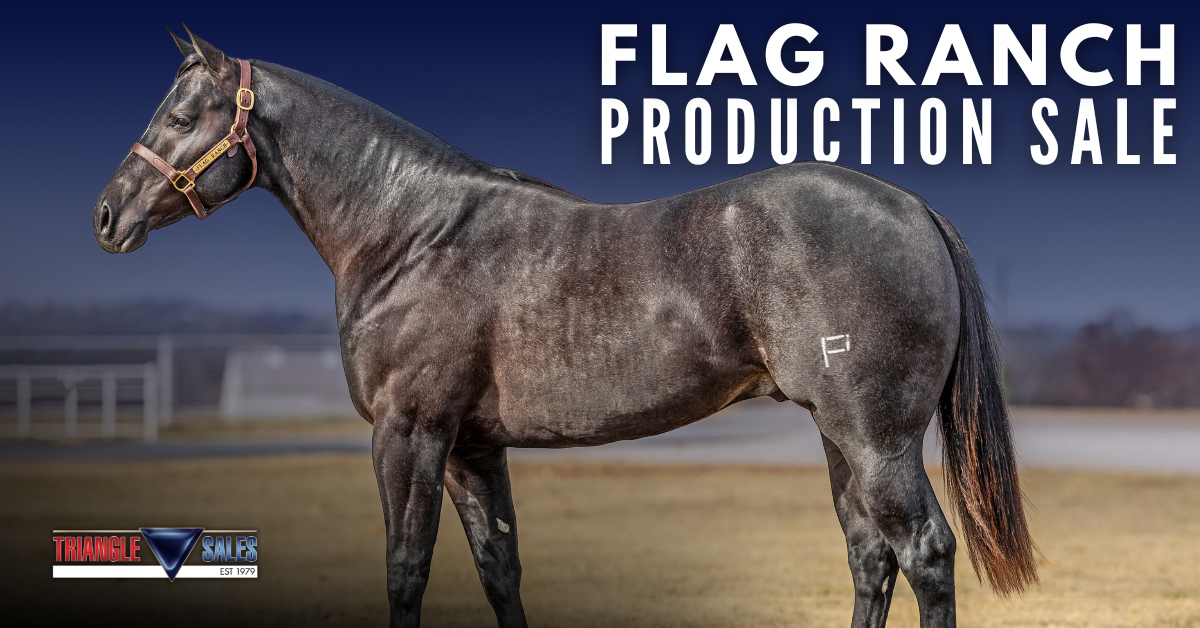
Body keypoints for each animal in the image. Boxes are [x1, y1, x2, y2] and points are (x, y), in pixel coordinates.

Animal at [93, 27, 1036, 628]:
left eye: (182, 115)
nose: (106, 216)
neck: (410, 232)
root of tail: (910, 205)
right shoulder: (470, 445)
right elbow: (498, 568)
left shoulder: (410, 432)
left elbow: (406, 571)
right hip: (840, 438)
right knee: (871, 557)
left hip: (877, 438)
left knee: (924, 551)